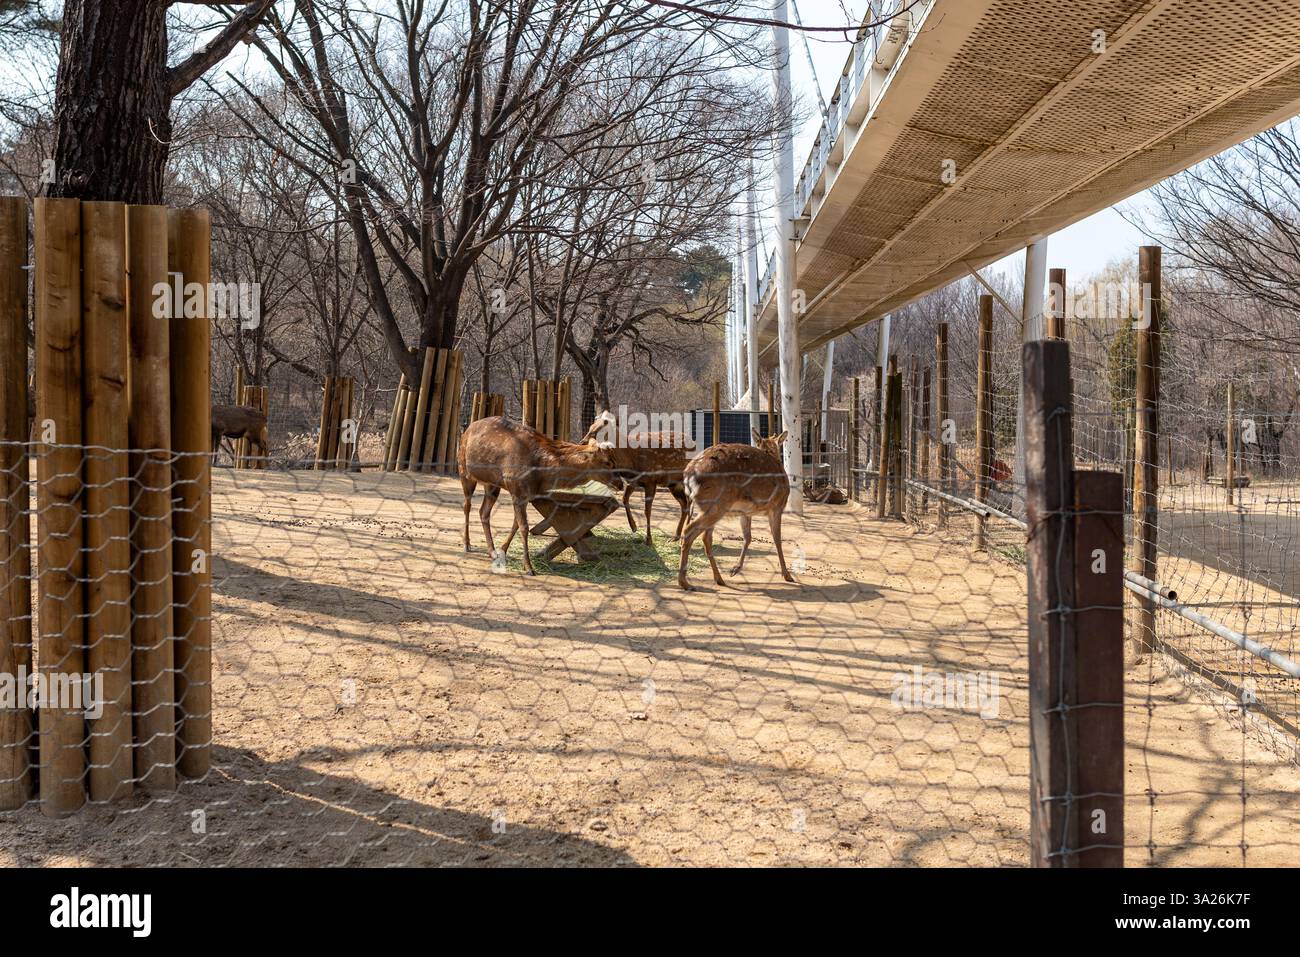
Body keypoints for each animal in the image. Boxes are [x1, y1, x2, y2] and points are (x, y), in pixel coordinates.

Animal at [458, 415, 616, 575]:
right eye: (607, 462)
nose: (620, 482)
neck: (540, 472)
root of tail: (467, 429)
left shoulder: (526, 495)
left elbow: (516, 525)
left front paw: (503, 550)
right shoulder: (517, 490)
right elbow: (524, 527)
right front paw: (528, 567)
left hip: (492, 485)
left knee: (483, 512)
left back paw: (492, 551)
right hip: (464, 471)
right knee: (466, 505)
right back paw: (467, 544)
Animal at [580, 409, 692, 546]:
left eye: (603, 429)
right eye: (591, 426)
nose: (582, 442)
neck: (630, 460)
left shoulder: (650, 480)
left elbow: (647, 511)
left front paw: (648, 539)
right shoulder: (632, 482)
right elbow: (624, 499)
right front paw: (633, 527)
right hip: (673, 484)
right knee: (684, 505)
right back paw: (676, 536)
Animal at [677, 428, 794, 591]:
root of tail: (689, 473)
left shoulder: (745, 513)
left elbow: (748, 537)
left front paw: (735, 569)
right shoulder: (777, 506)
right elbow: (777, 539)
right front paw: (787, 575)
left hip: (709, 507)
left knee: (705, 538)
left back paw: (719, 579)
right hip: (716, 505)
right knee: (689, 532)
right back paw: (685, 582)